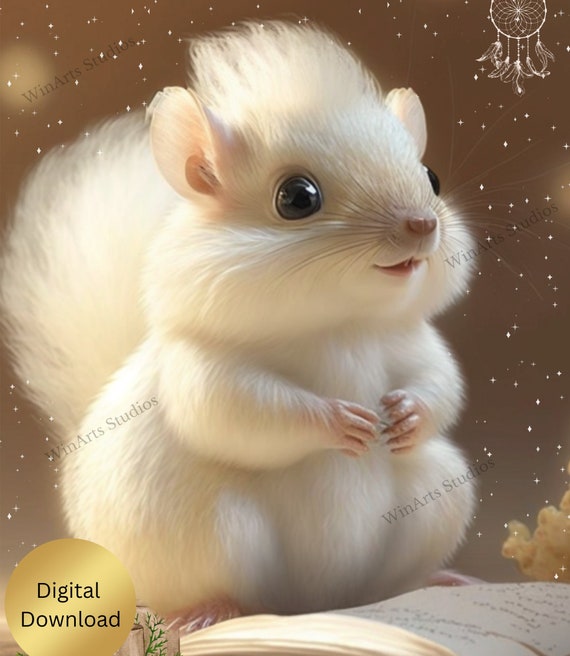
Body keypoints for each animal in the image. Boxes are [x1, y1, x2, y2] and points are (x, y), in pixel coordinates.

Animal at [1, 22, 476, 628]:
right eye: (296, 197)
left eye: (431, 177)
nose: (421, 225)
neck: (339, 326)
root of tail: (316, 603)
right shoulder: (200, 364)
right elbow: (235, 410)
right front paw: (337, 420)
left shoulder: (414, 342)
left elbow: (441, 383)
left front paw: (408, 414)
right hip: (210, 529)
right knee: (234, 589)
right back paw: (209, 612)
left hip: (440, 492)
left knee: (388, 577)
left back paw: (433, 580)